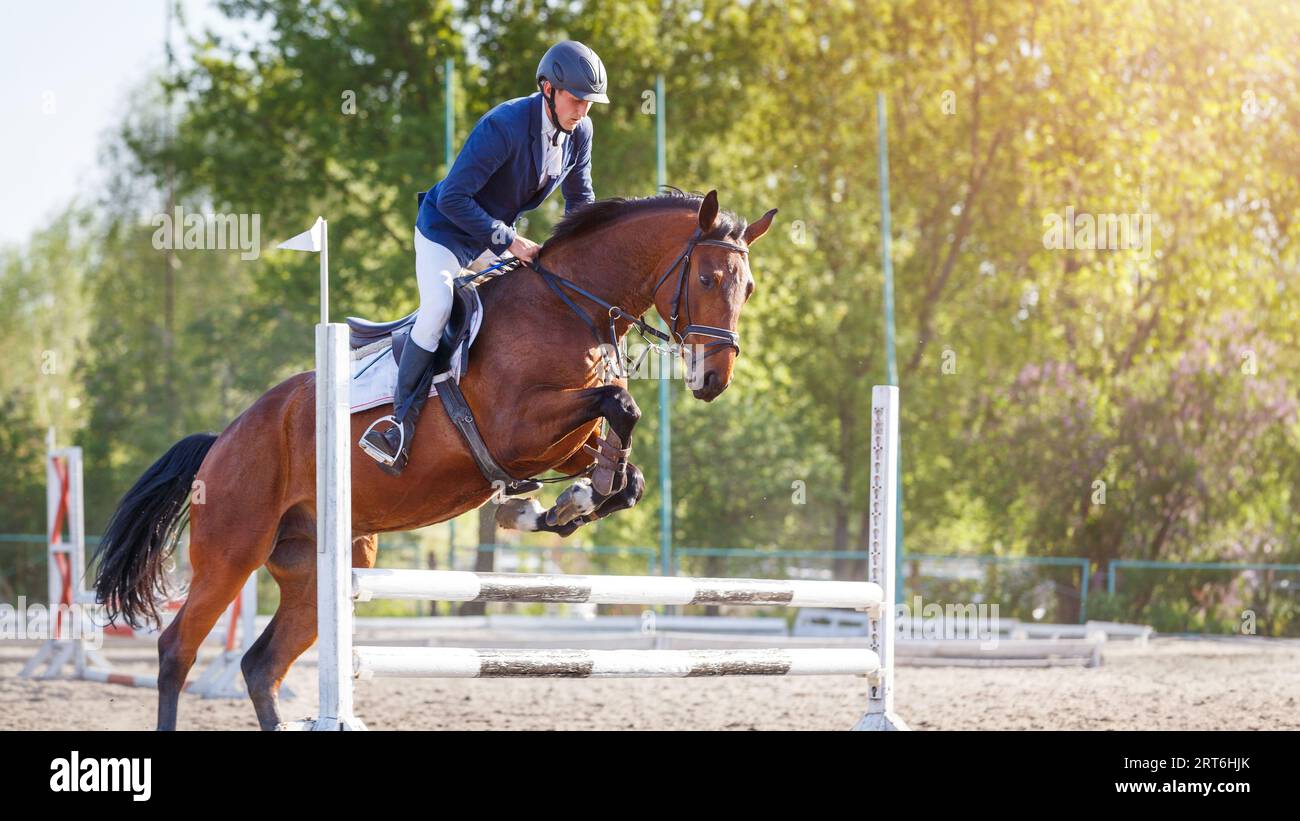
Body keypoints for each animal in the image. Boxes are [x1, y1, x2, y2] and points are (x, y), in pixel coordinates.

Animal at [92, 189, 776, 730]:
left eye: (747, 287)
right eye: (707, 280)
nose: (713, 378)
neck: (569, 306)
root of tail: (224, 439)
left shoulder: (561, 437)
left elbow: (623, 468)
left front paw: (566, 504)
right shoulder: (516, 428)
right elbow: (622, 403)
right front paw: (560, 502)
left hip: (321, 570)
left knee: (262, 665)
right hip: (232, 552)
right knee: (177, 650)